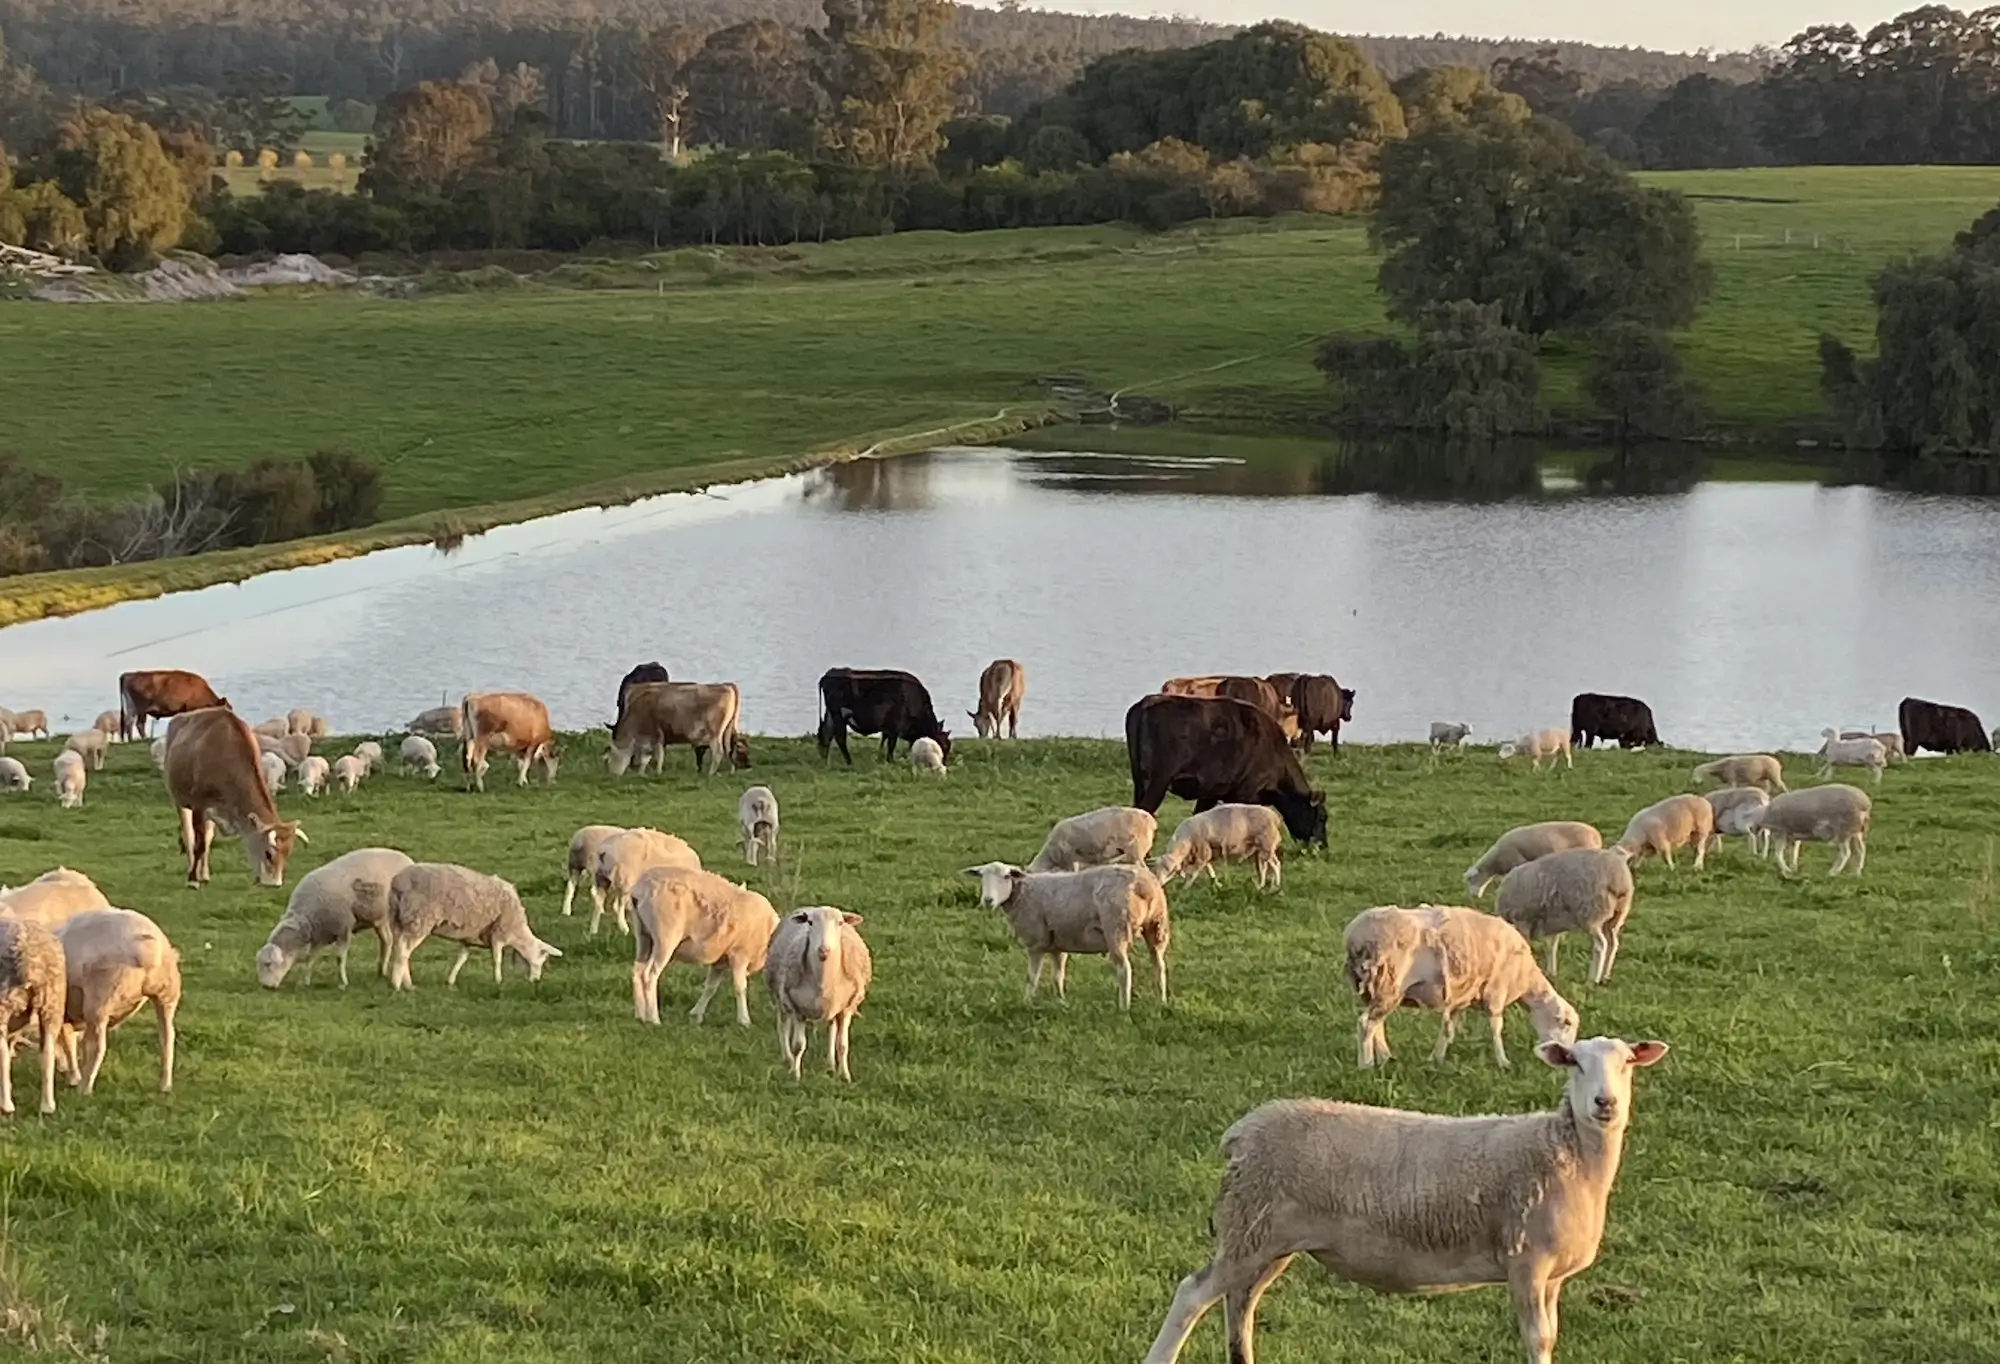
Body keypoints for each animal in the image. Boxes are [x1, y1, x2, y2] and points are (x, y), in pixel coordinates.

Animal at [163, 707, 306, 887]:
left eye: (287, 854)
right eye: (268, 854)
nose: (275, 884)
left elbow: (207, 841)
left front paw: (202, 875)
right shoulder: (199, 804)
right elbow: (199, 843)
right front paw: (193, 880)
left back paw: (204, 874)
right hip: (180, 800)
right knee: (189, 835)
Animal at [608, 681, 747, 776]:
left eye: (610, 758)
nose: (614, 775)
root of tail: (725, 685)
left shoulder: (656, 734)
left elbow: (657, 755)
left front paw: (657, 772)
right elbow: (646, 757)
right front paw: (642, 773)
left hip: (715, 733)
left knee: (718, 751)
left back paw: (710, 774)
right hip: (727, 730)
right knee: (729, 749)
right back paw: (731, 771)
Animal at [817, 669, 951, 765]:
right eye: (944, 746)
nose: (943, 762)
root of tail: (830, 673)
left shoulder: (888, 728)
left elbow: (883, 741)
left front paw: (879, 758)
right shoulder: (895, 726)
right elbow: (891, 745)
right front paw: (890, 761)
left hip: (830, 715)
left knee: (826, 733)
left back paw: (825, 760)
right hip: (838, 716)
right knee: (839, 738)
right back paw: (849, 762)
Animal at [1125, 694, 1328, 847]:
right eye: (1322, 818)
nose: (1323, 847)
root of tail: (1148, 702)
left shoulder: (1211, 793)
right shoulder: (1245, 792)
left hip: (1140, 781)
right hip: (1158, 781)